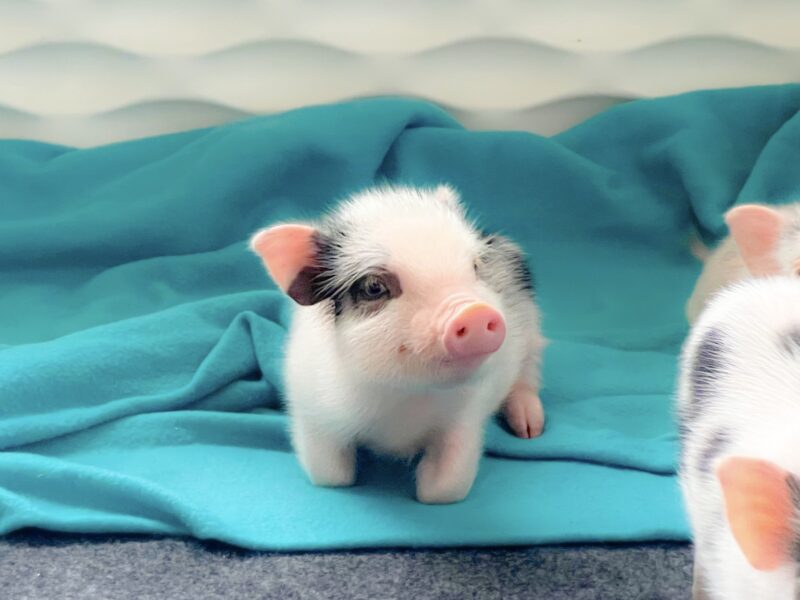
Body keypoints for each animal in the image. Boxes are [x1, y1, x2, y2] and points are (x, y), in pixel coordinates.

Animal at [250, 184, 544, 503]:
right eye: (373, 287)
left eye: (475, 267)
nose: (474, 312)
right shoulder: (311, 409)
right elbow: (331, 477)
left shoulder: (465, 419)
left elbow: (447, 489)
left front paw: (424, 487)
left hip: (531, 329)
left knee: (528, 373)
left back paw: (530, 430)